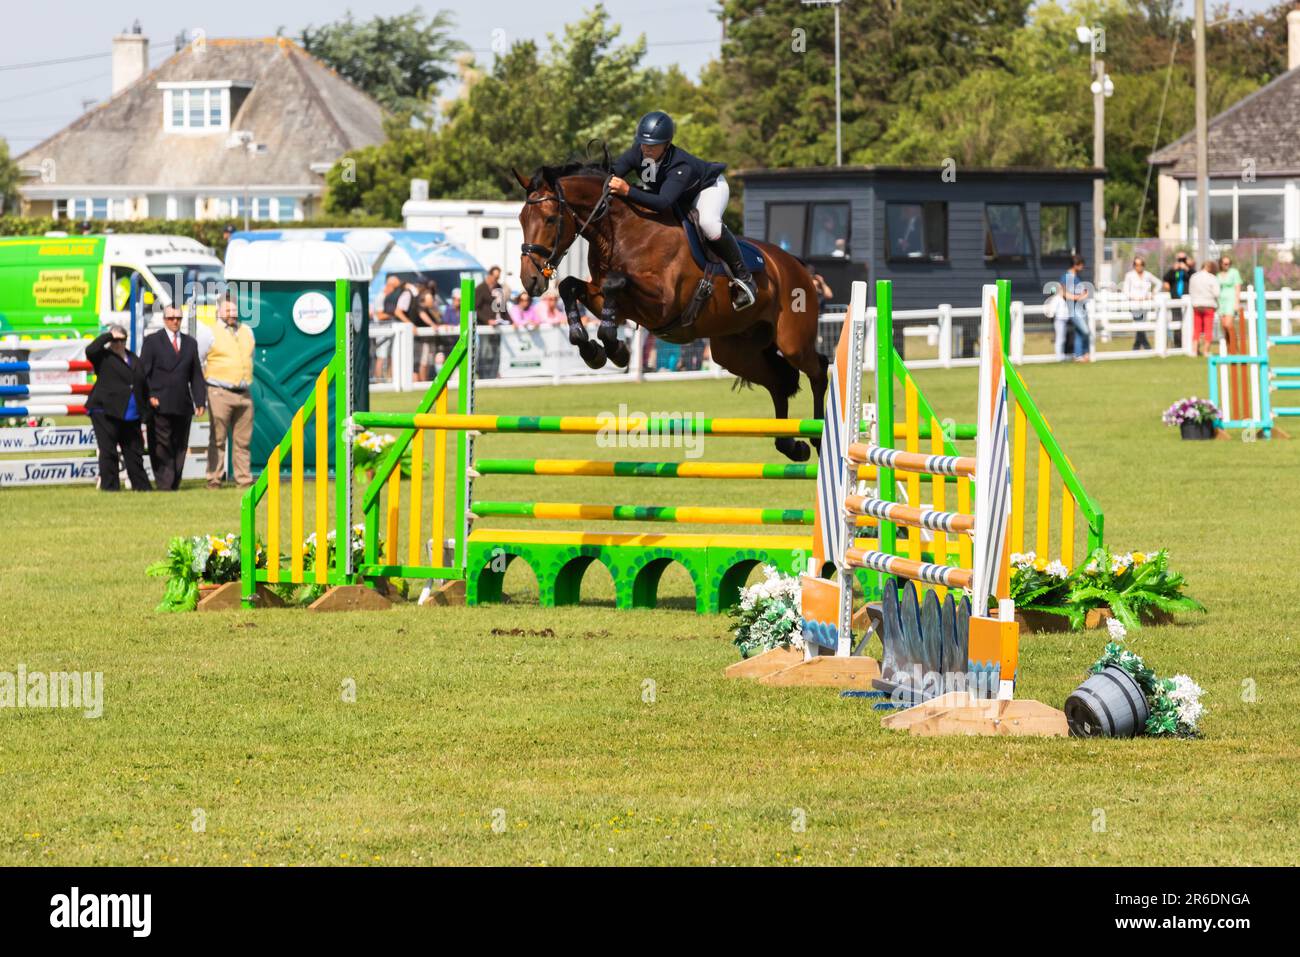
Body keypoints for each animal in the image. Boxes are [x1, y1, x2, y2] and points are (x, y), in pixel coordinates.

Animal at [512, 161, 829, 463]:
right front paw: (594, 350)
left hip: (792, 341)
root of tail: (796, 265)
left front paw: (616, 349)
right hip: (735, 351)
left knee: (818, 370)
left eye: (551, 218)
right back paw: (791, 445)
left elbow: (616, 282)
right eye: (521, 219)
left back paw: (818, 437)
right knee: (778, 381)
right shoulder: (609, 301)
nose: (531, 280)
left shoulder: (663, 304)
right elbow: (570, 287)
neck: (622, 231)